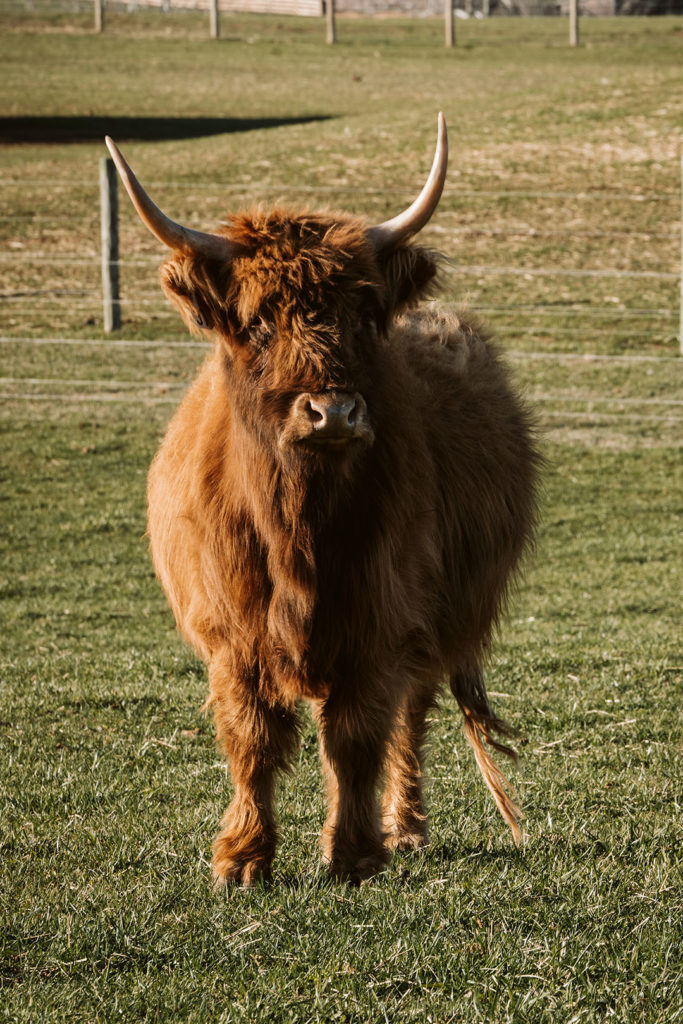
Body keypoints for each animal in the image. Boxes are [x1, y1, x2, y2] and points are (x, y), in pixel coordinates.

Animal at [105, 115, 540, 886]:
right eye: (256, 324)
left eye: (362, 318)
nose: (332, 412)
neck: (298, 531)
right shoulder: (231, 634)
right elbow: (251, 740)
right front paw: (243, 858)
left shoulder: (382, 619)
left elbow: (356, 738)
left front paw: (355, 853)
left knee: (410, 718)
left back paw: (406, 827)